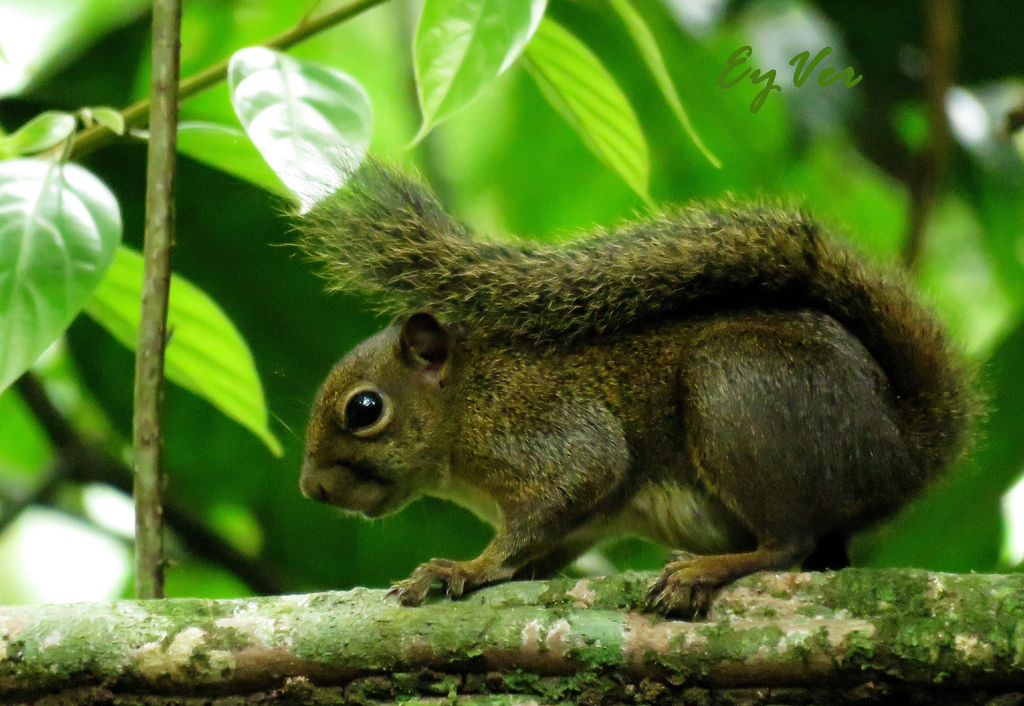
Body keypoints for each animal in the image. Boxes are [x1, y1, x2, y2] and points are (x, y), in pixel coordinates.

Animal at [297, 160, 977, 617]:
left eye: (364, 409)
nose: (312, 490)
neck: (466, 401)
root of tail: (901, 445)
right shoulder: (581, 525)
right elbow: (541, 548)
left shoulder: (542, 428)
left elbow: (579, 477)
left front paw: (462, 567)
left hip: (733, 388)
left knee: (789, 544)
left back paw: (705, 569)